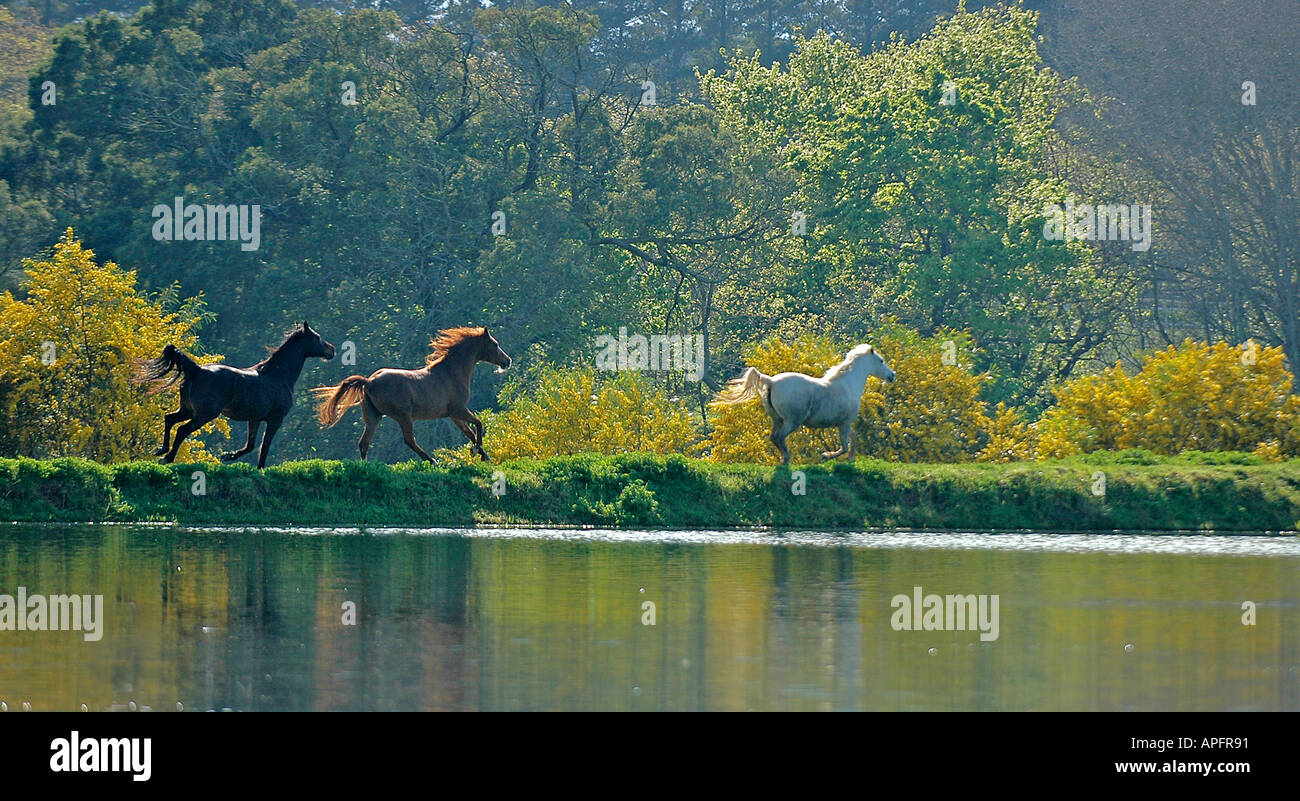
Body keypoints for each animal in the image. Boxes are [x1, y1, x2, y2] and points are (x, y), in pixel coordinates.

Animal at [134, 322, 336, 467]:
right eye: (317, 337)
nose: (332, 350)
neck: (277, 376)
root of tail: (197, 370)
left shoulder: (254, 419)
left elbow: (250, 446)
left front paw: (227, 456)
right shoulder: (275, 420)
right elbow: (264, 447)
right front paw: (260, 469)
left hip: (188, 410)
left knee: (169, 418)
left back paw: (161, 450)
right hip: (204, 414)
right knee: (182, 430)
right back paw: (167, 458)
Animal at [312, 326, 511, 462]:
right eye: (495, 344)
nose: (507, 361)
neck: (451, 372)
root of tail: (369, 382)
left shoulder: (453, 415)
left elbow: (469, 432)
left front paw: (483, 455)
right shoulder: (458, 409)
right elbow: (478, 424)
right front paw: (476, 451)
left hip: (374, 417)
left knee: (364, 442)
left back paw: (366, 465)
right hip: (403, 416)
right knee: (409, 440)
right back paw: (432, 460)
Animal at [713, 344, 896, 465]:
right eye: (881, 360)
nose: (892, 375)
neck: (848, 384)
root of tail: (771, 381)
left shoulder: (843, 424)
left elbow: (853, 437)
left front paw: (850, 458)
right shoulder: (844, 423)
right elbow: (844, 445)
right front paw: (826, 456)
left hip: (777, 419)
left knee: (773, 437)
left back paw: (783, 460)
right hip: (792, 421)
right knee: (779, 437)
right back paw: (786, 460)